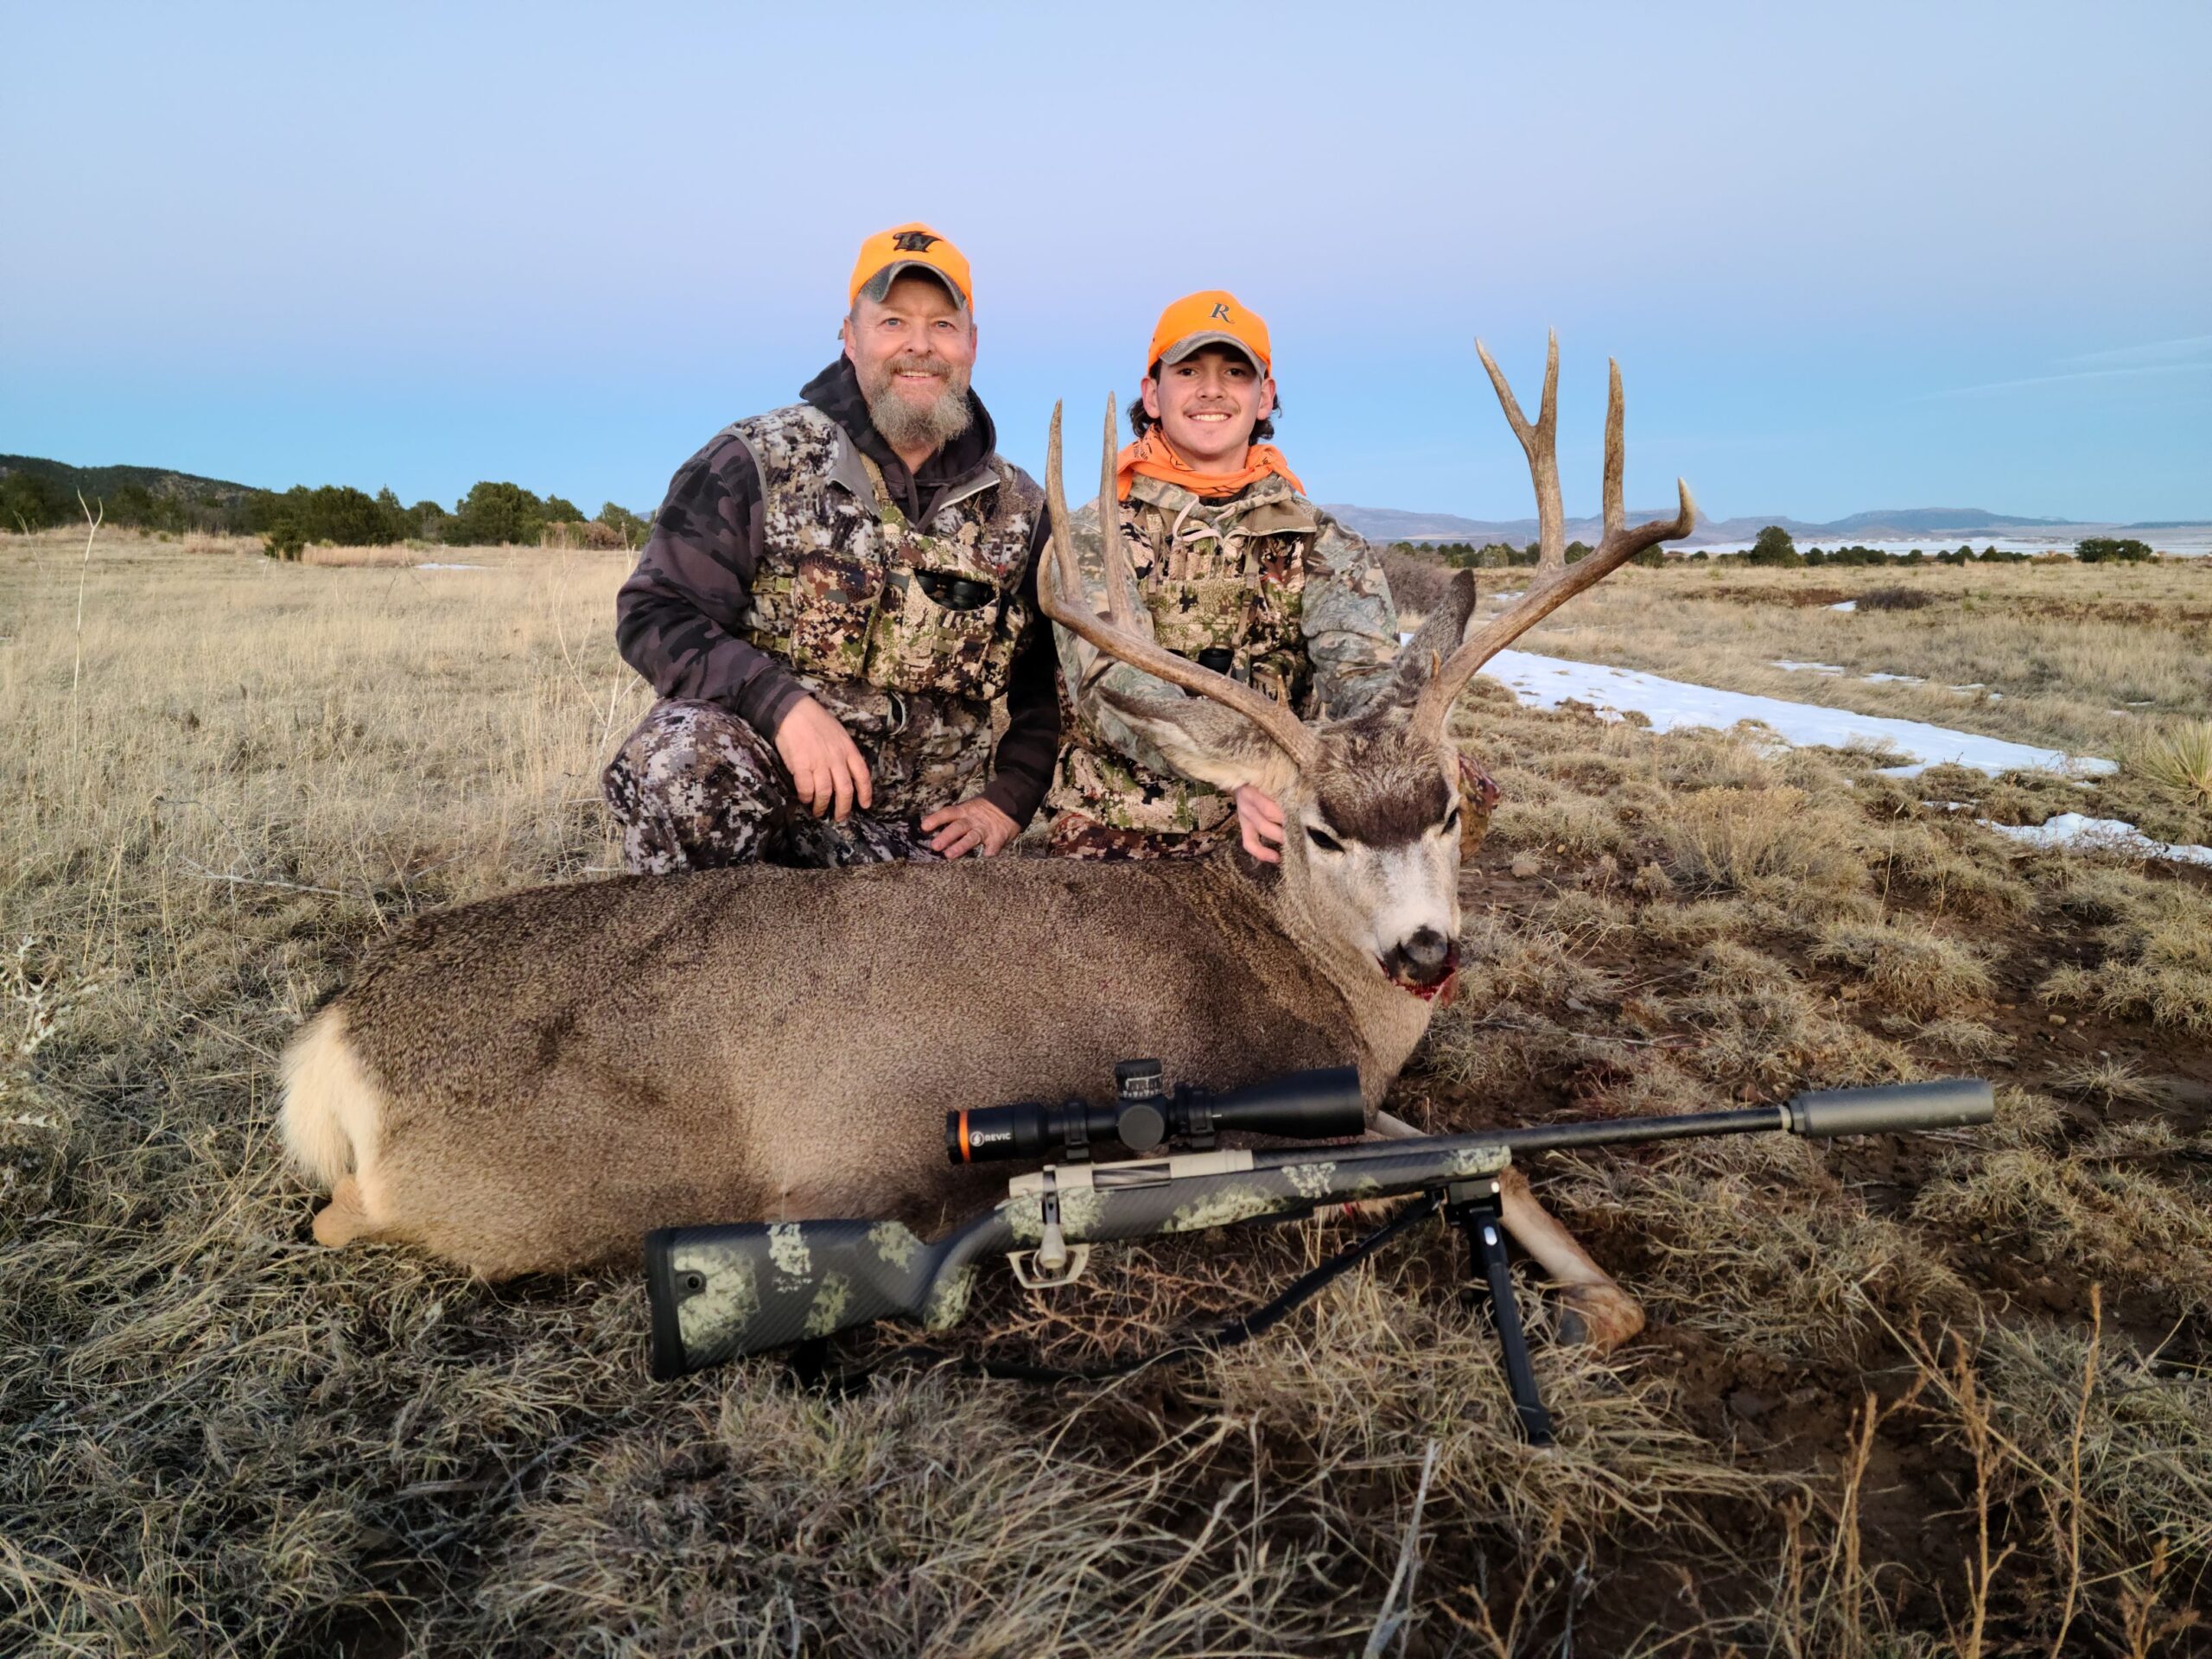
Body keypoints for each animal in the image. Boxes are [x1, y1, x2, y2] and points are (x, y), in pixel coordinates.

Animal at [279, 335, 1694, 1351]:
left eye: (1446, 805)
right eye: (1318, 829)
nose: (1425, 952)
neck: (1301, 968)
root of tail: (335, 1032)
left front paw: (1594, 1300)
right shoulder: (1296, 1093)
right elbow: (1478, 1170)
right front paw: (1594, 1306)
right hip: (527, 1189)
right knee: (340, 1218)